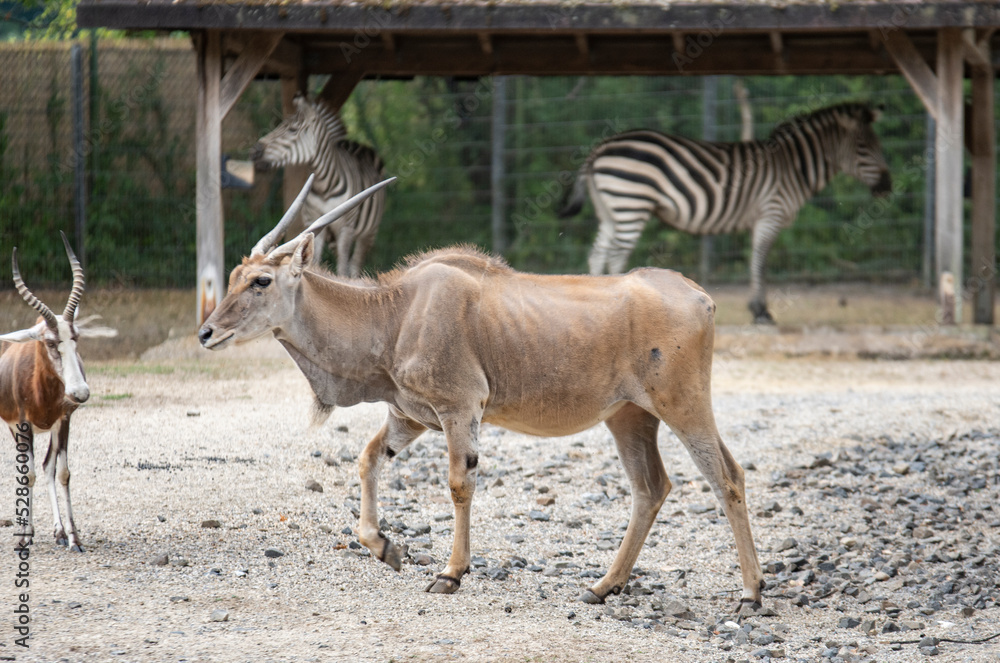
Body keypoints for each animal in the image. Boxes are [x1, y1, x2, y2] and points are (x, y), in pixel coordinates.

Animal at [1, 232, 114, 551]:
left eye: (75, 338)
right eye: (51, 342)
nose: (80, 392)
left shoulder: (64, 420)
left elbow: (62, 473)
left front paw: (74, 537)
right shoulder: (23, 425)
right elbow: (27, 475)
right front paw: (23, 537)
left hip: (51, 428)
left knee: (47, 466)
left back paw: (60, 532)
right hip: (14, 428)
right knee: (30, 470)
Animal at [199, 177, 765, 613]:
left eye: (261, 281)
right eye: (234, 275)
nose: (206, 333)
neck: (395, 313)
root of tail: (700, 296)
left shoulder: (458, 409)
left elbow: (458, 484)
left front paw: (450, 573)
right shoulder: (411, 417)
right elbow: (367, 459)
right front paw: (385, 547)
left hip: (683, 407)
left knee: (727, 478)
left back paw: (751, 594)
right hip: (629, 417)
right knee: (651, 487)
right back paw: (603, 586)